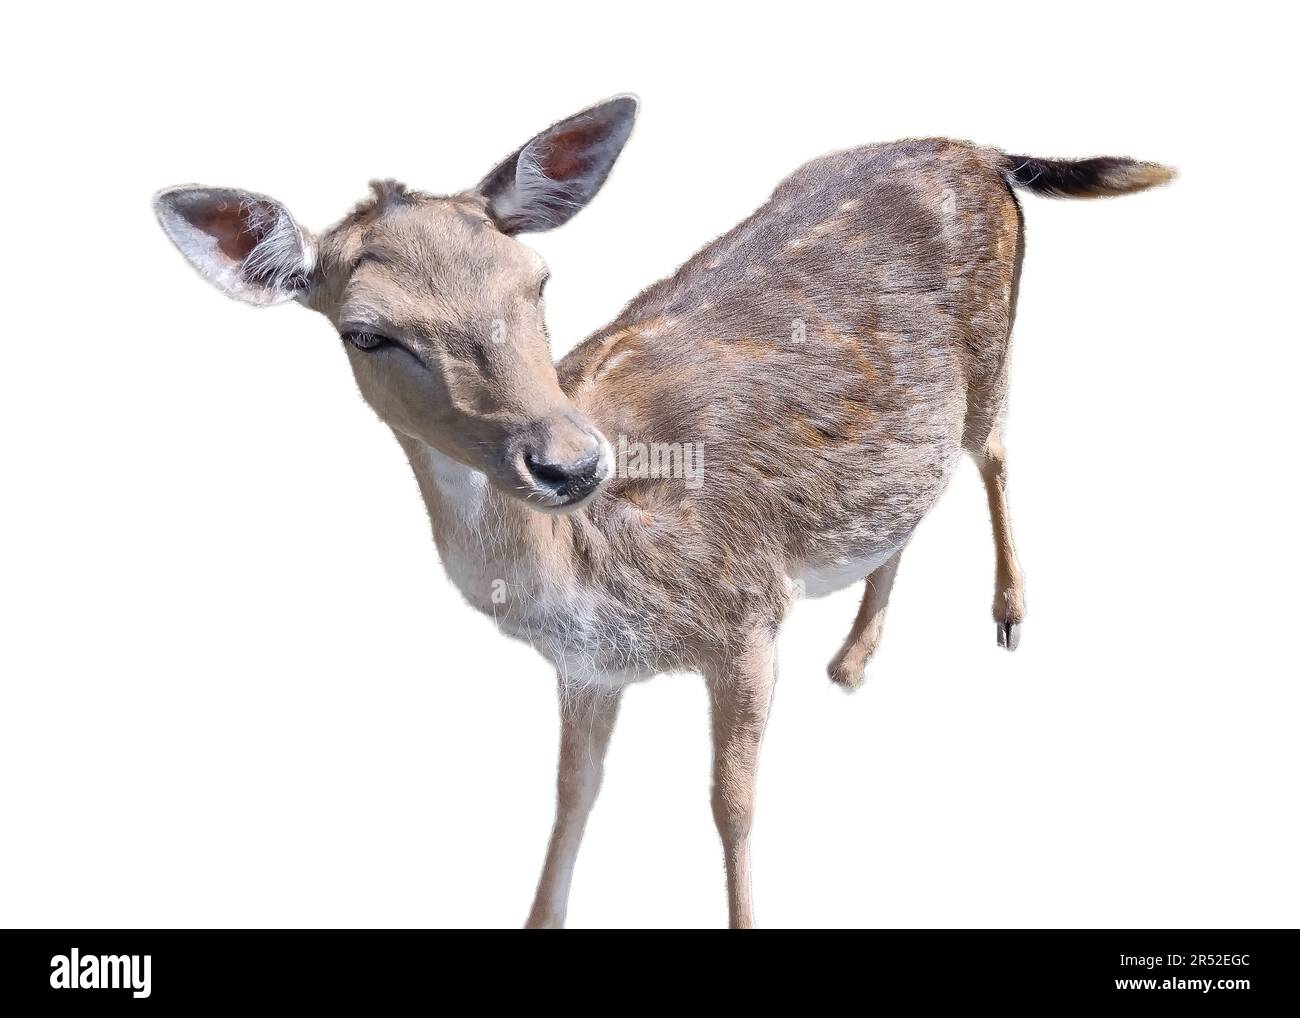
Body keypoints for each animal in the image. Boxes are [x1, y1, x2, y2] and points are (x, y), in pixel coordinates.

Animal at [153, 95, 1173, 928]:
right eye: (366, 333)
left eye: (538, 282)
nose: (568, 462)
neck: (598, 573)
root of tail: (984, 150)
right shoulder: (586, 669)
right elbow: (573, 793)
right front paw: (538, 919)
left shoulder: (749, 610)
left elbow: (732, 803)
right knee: (911, 495)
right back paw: (853, 657)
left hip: (997, 349)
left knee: (994, 452)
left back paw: (1009, 615)